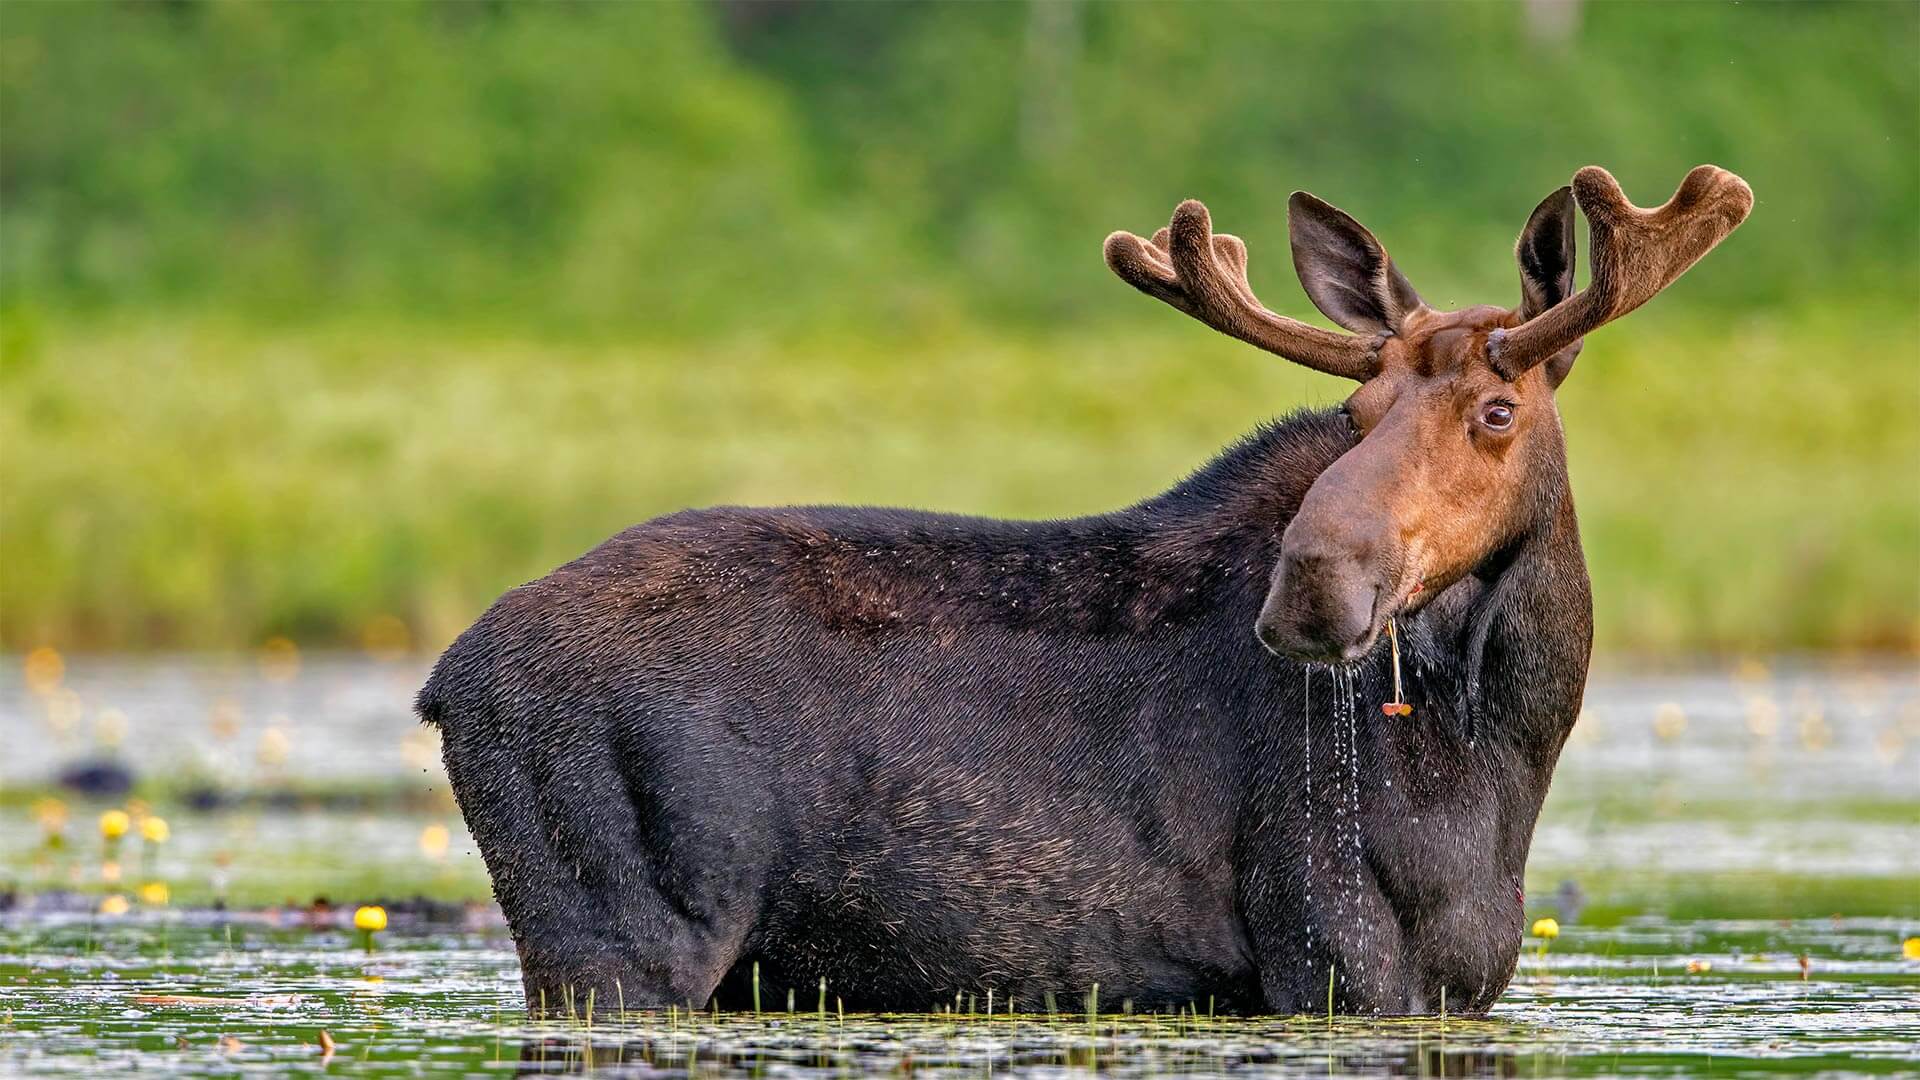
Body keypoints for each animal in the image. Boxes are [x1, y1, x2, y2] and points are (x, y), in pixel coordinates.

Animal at [418, 165, 1751, 1017]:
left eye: (1496, 411)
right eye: (1356, 412)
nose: (1314, 586)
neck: (1505, 743)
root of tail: (445, 681)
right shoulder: (1331, 946)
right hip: (619, 938)